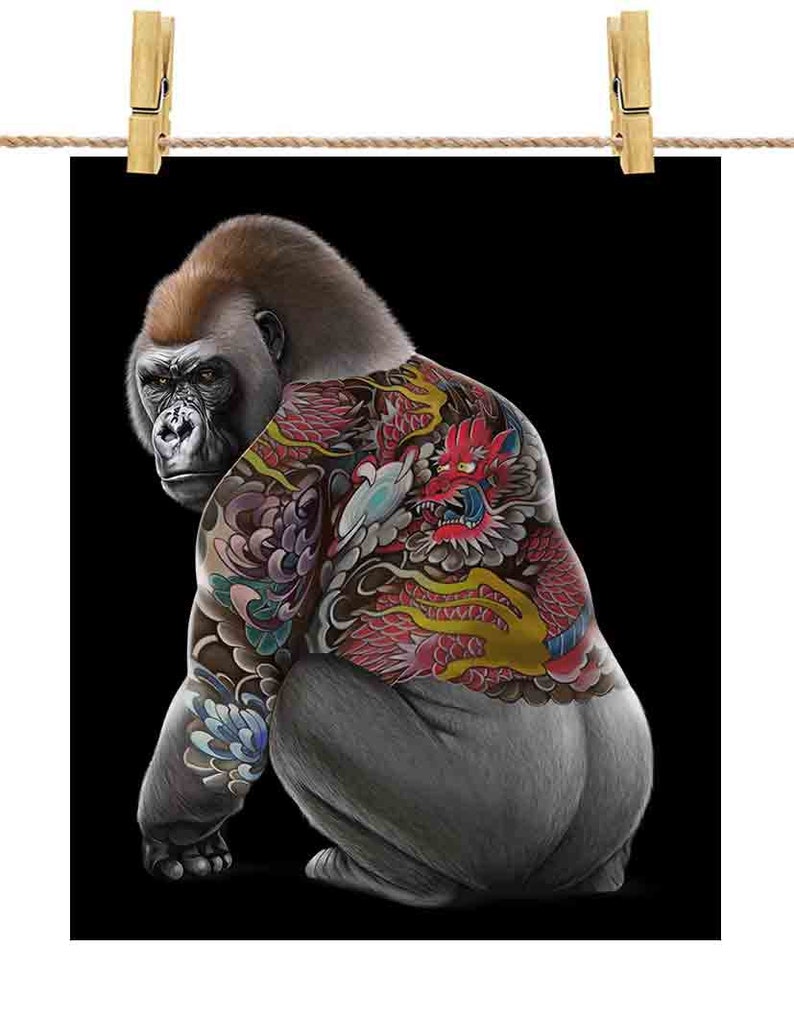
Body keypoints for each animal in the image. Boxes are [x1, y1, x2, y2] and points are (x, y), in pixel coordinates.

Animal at [134, 215, 653, 906]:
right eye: (158, 382)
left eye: (205, 376)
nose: (171, 430)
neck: (343, 354)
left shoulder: (267, 474)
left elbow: (227, 689)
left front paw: (175, 837)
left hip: (488, 816)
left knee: (303, 700)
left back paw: (389, 880)